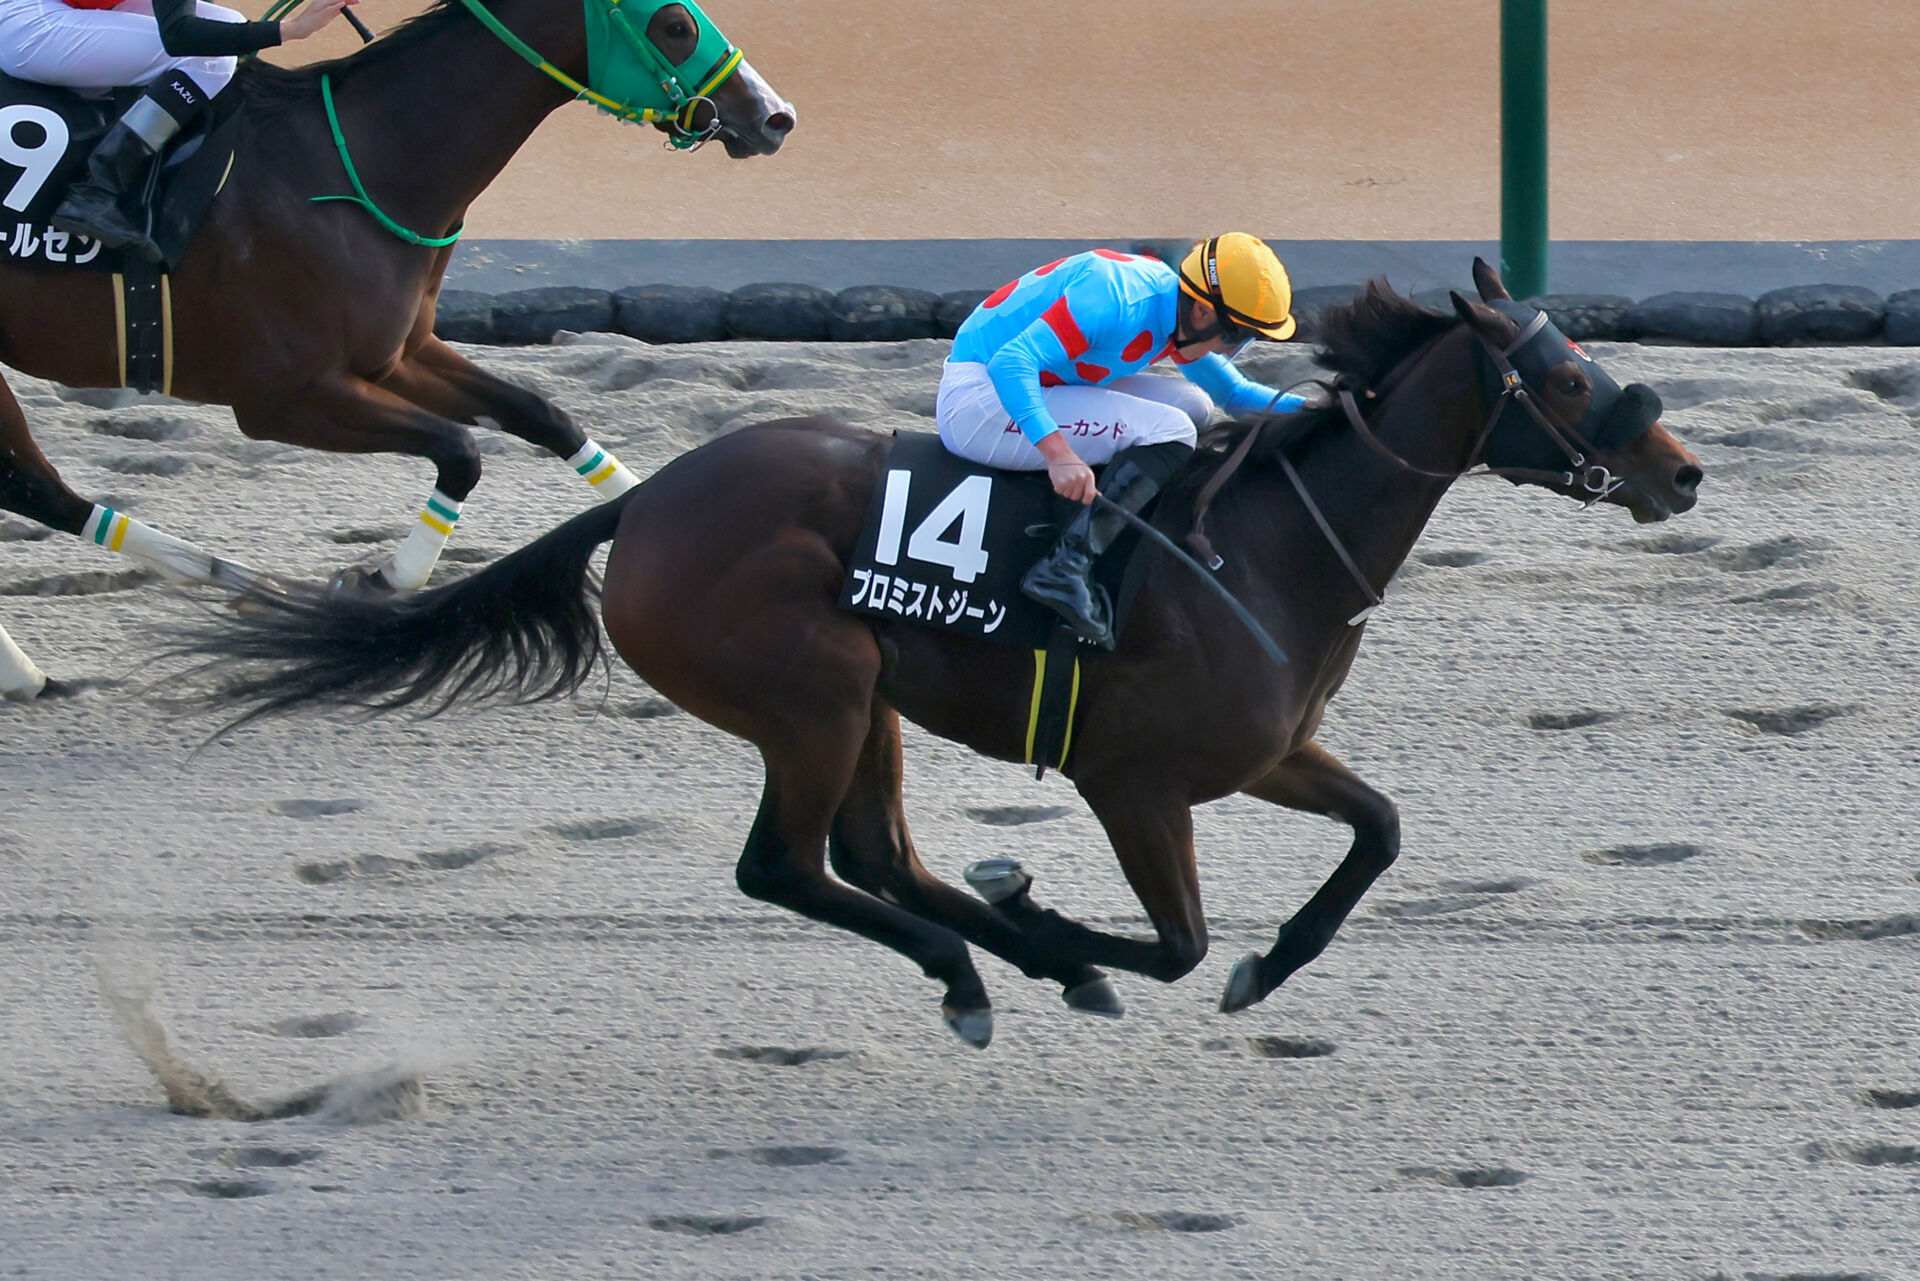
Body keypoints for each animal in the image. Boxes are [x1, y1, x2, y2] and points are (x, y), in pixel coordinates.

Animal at [0, 0, 794, 699]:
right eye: (675, 23)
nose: (775, 117)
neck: (353, 162)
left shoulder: (400, 354)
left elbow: (542, 416)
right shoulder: (283, 397)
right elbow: (461, 452)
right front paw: (382, 581)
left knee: (36, 489)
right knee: (37, 488)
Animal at [174, 262, 1703, 1048]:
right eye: (1566, 376)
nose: (1683, 470)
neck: (1269, 544)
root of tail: (647, 502)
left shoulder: (1270, 750)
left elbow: (1377, 834)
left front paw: (1255, 967)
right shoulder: (1132, 781)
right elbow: (1175, 943)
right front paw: (1054, 920)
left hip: (872, 701)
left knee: (873, 858)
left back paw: (989, 956)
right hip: (814, 691)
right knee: (788, 869)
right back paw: (978, 969)